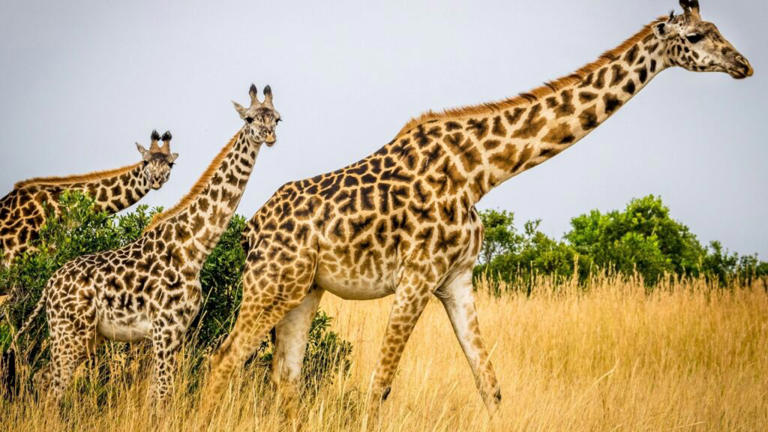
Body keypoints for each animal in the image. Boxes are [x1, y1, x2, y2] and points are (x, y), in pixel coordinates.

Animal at [202, 0, 752, 415]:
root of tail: (250, 230)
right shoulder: (416, 278)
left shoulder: (457, 280)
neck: (480, 172)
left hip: (304, 290)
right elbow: (379, 386)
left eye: (718, 29)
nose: (743, 65)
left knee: (286, 376)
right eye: (697, 36)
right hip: (269, 285)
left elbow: (490, 386)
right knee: (221, 361)